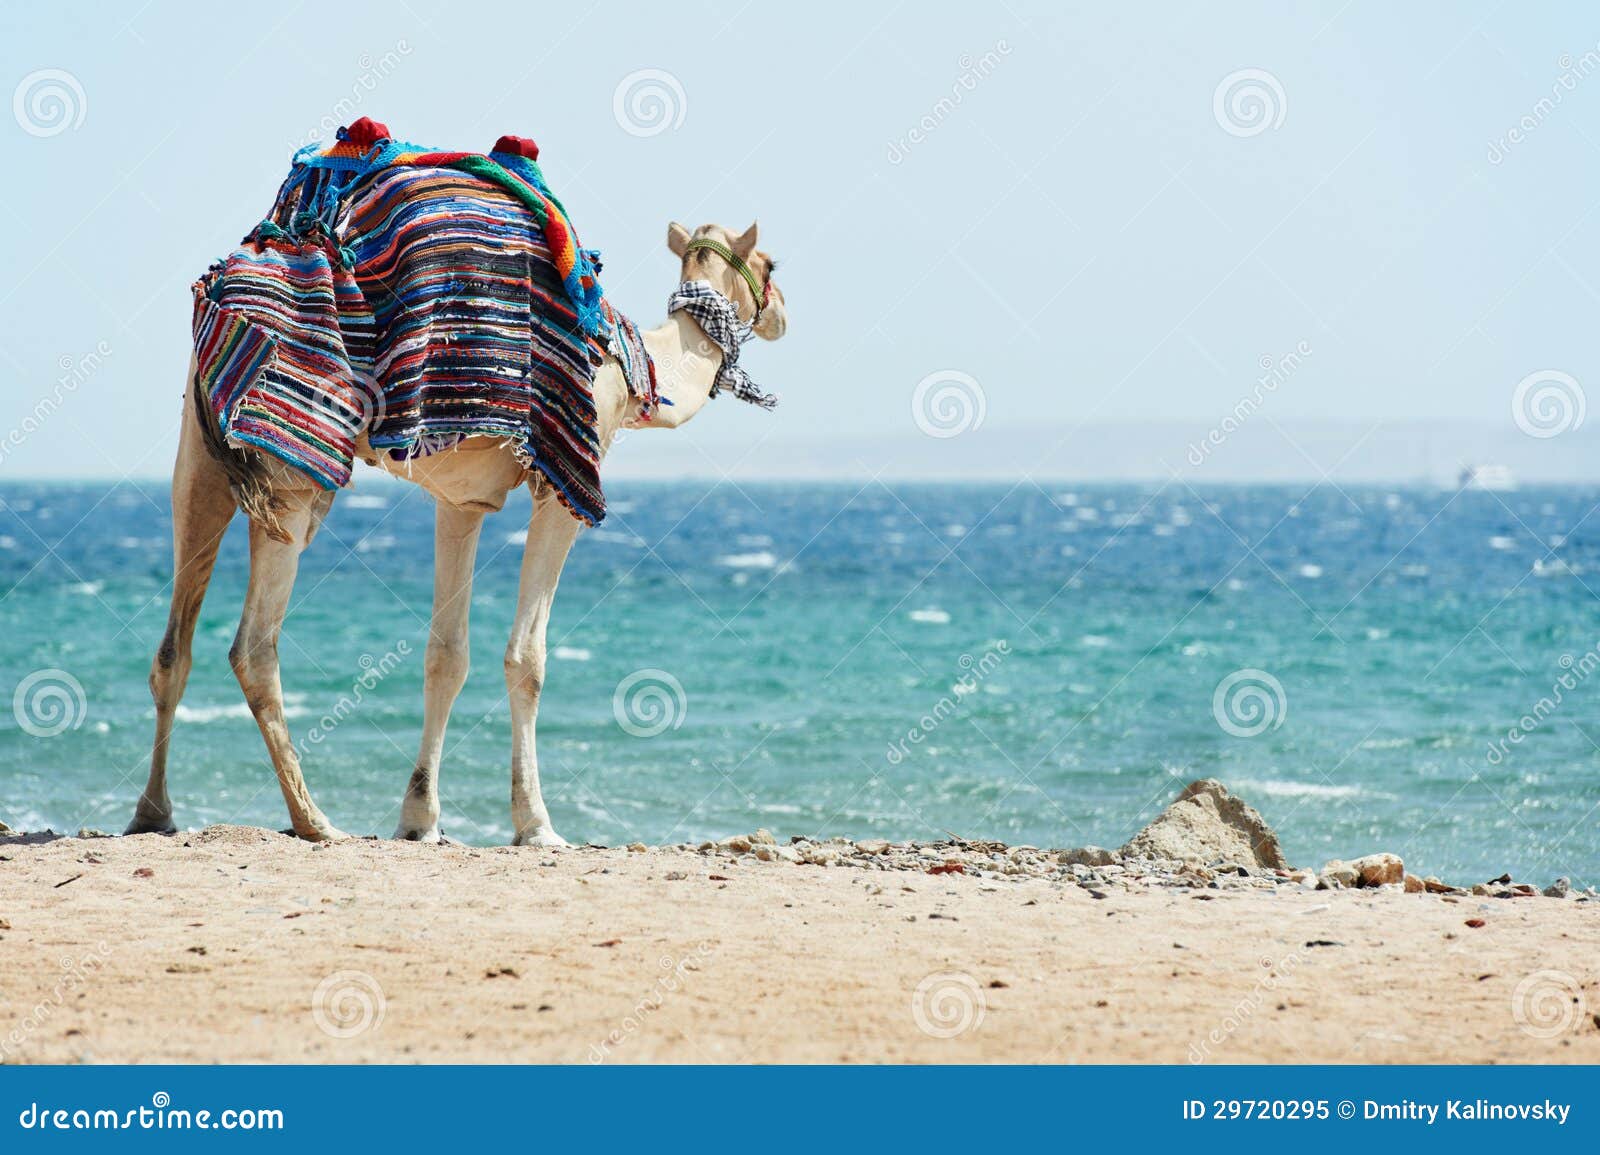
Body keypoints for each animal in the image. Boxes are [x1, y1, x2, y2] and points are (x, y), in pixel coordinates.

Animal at [126, 220, 786, 845]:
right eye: (771, 263)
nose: (781, 310)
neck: (635, 371)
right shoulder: (564, 487)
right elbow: (527, 657)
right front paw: (536, 825)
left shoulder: (462, 501)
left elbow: (446, 656)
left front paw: (419, 818)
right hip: (290, 454)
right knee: (253, 646)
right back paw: (314, 820)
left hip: (204, 453)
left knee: (173, 647)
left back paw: (154, 812)